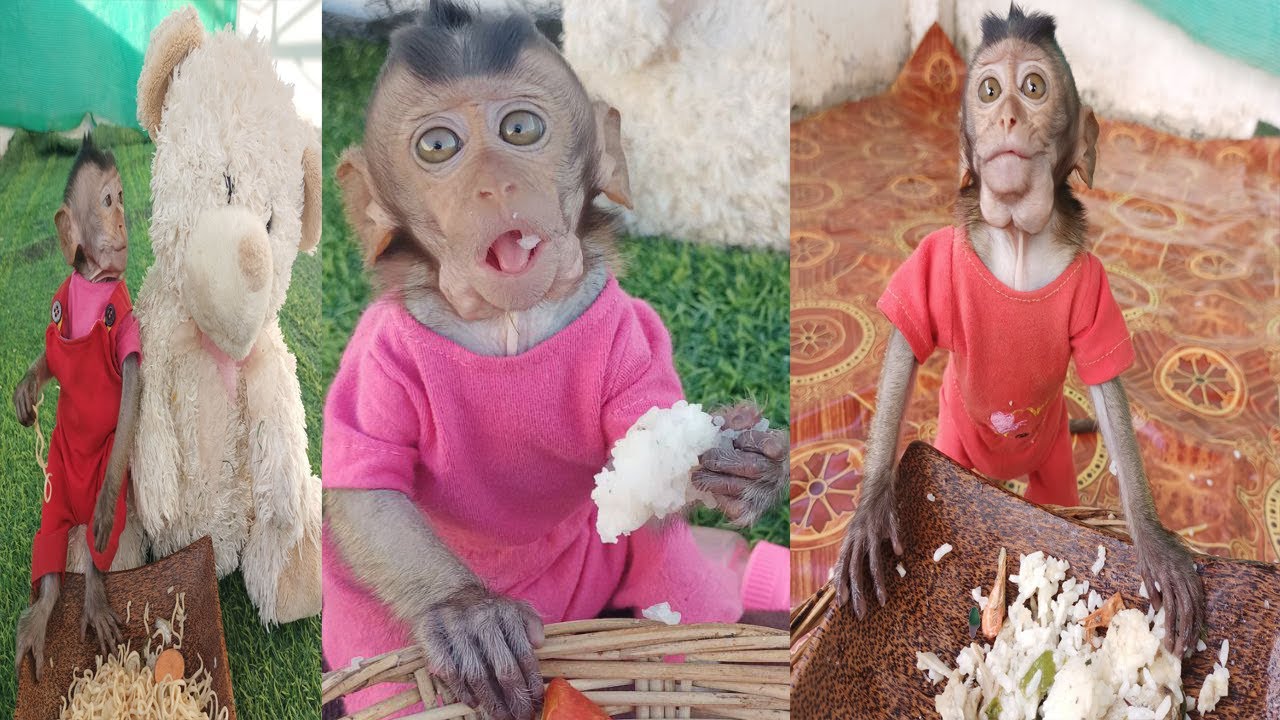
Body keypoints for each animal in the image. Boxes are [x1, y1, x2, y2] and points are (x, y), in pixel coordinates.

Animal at [321, 3, 787, 719]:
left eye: (520, 129)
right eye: (438, 147)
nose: (495, 185)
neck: (508, 326)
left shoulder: (631, 330)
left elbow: (653, 465)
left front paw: (750, 469)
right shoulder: (377, 355)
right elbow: (367, 488)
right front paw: (468, 613)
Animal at [833, 5, 1204, 657]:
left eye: (1033, 88)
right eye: (988, 91)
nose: (1006, 115)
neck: (1019, 245)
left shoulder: (1093, 284)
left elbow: (1106, 388)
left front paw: (1151, 534)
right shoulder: (942, 254)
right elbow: (907, 340)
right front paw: (873, 500)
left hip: (1052, 455)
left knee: (1054, 492)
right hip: (954, 442)